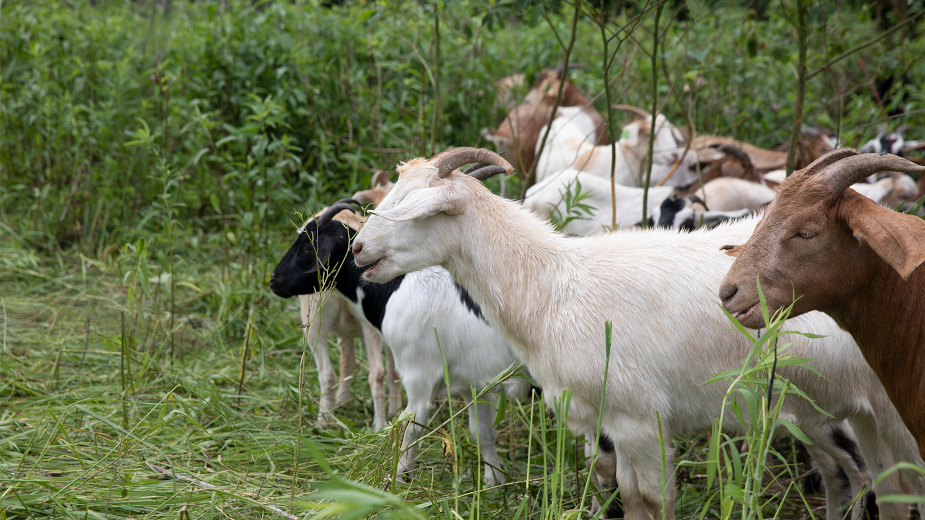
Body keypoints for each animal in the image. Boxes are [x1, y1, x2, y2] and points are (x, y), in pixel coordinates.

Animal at [271, 200, 532, 487]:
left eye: (307, 247)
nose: (274, 280)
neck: (396, 291)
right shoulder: (473, 384)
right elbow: (482, 432)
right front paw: (494, 481)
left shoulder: (419, 377)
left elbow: (409, 429)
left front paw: (399, 479)